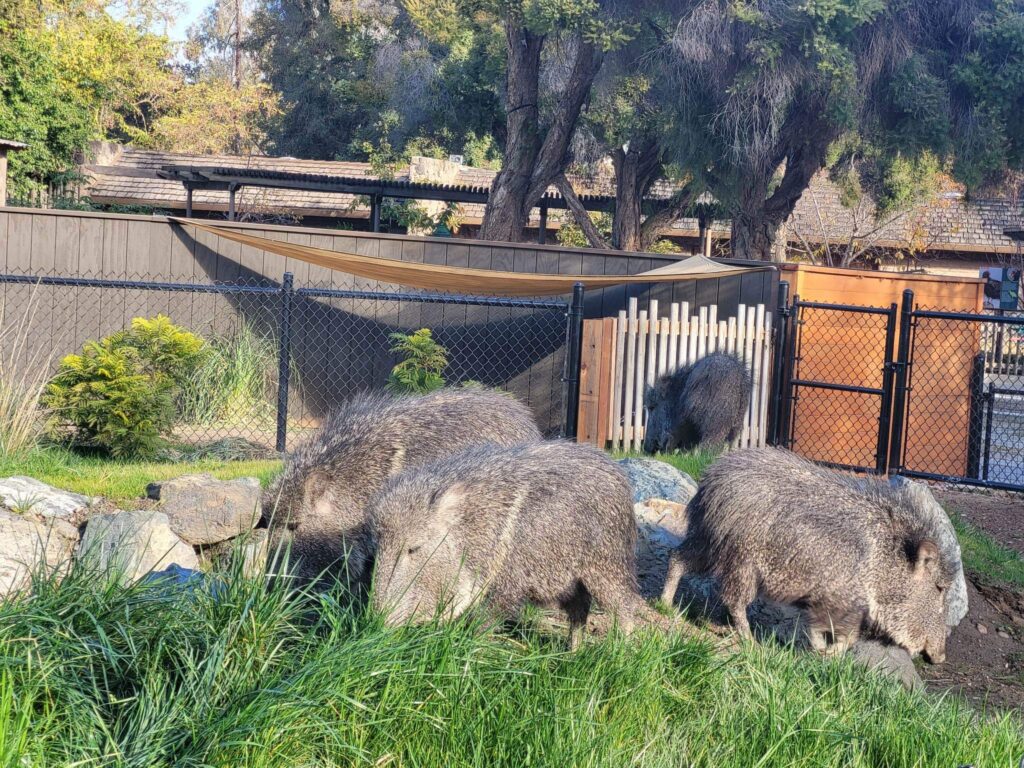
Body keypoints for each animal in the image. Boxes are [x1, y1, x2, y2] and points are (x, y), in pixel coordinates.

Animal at [370, 441, 663, 647]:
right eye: (379, 547)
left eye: (414, 548)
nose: (378, 623)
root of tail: (620, 476)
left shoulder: (506, 586)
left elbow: (483, 623)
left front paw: (469, 649)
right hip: (572, 581)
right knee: (579, 612)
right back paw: (572, 651)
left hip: (605, 565)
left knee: (624, 606)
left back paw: (618, 650)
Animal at [660, 448, 955, 663]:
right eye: (939, 589)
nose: (940, 657)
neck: (882, 560)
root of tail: (711, 483)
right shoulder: (839, 599)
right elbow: (844, 635)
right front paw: (826, 653)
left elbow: (825, 630)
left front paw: (820, 650)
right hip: (740, 559)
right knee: (734, 600)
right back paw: (750, 642)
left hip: (709, 542)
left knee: (677, 557)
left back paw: (667, 605)